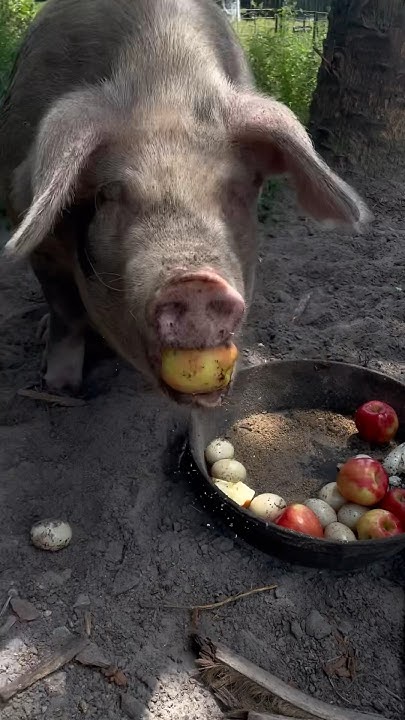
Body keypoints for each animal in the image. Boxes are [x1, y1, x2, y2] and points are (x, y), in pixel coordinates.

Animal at [0, 0, 370, 407]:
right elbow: (65, 312)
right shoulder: (29, 224)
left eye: (236, 189)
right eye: (112, 192)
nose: (196, 283)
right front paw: (61, 387)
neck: (165, 88)